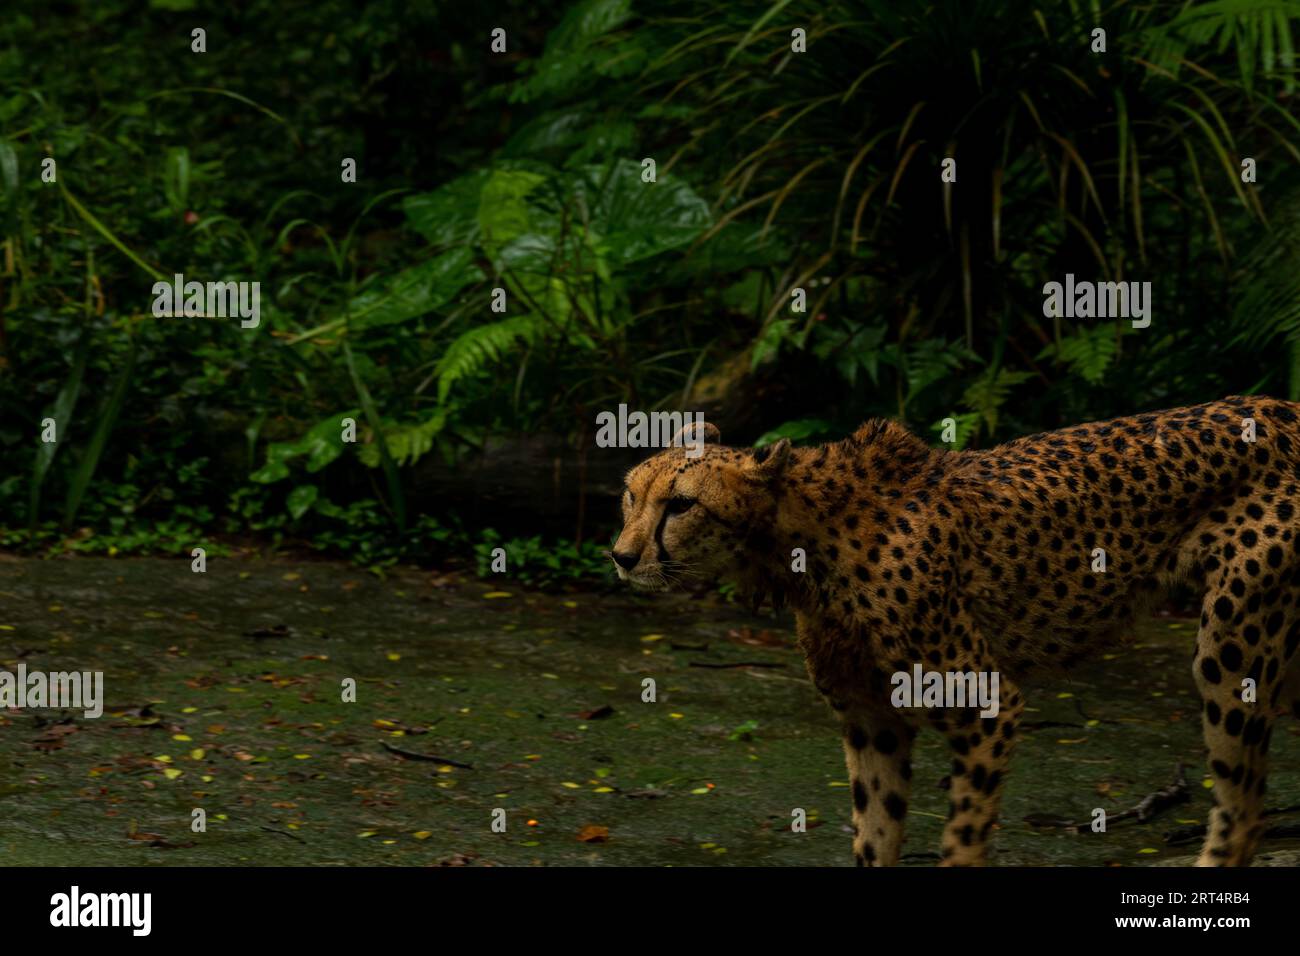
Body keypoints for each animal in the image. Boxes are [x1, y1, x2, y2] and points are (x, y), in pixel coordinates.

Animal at [610, 398, 1300, 866]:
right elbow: (875, 834)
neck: (800, 541)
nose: (620, 556)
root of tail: (1277, 405)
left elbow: (963, 837)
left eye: (682, 505)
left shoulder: (988, 705)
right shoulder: (871, 720)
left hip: (1230, 644)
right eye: (630, 496)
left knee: (1242, 808)